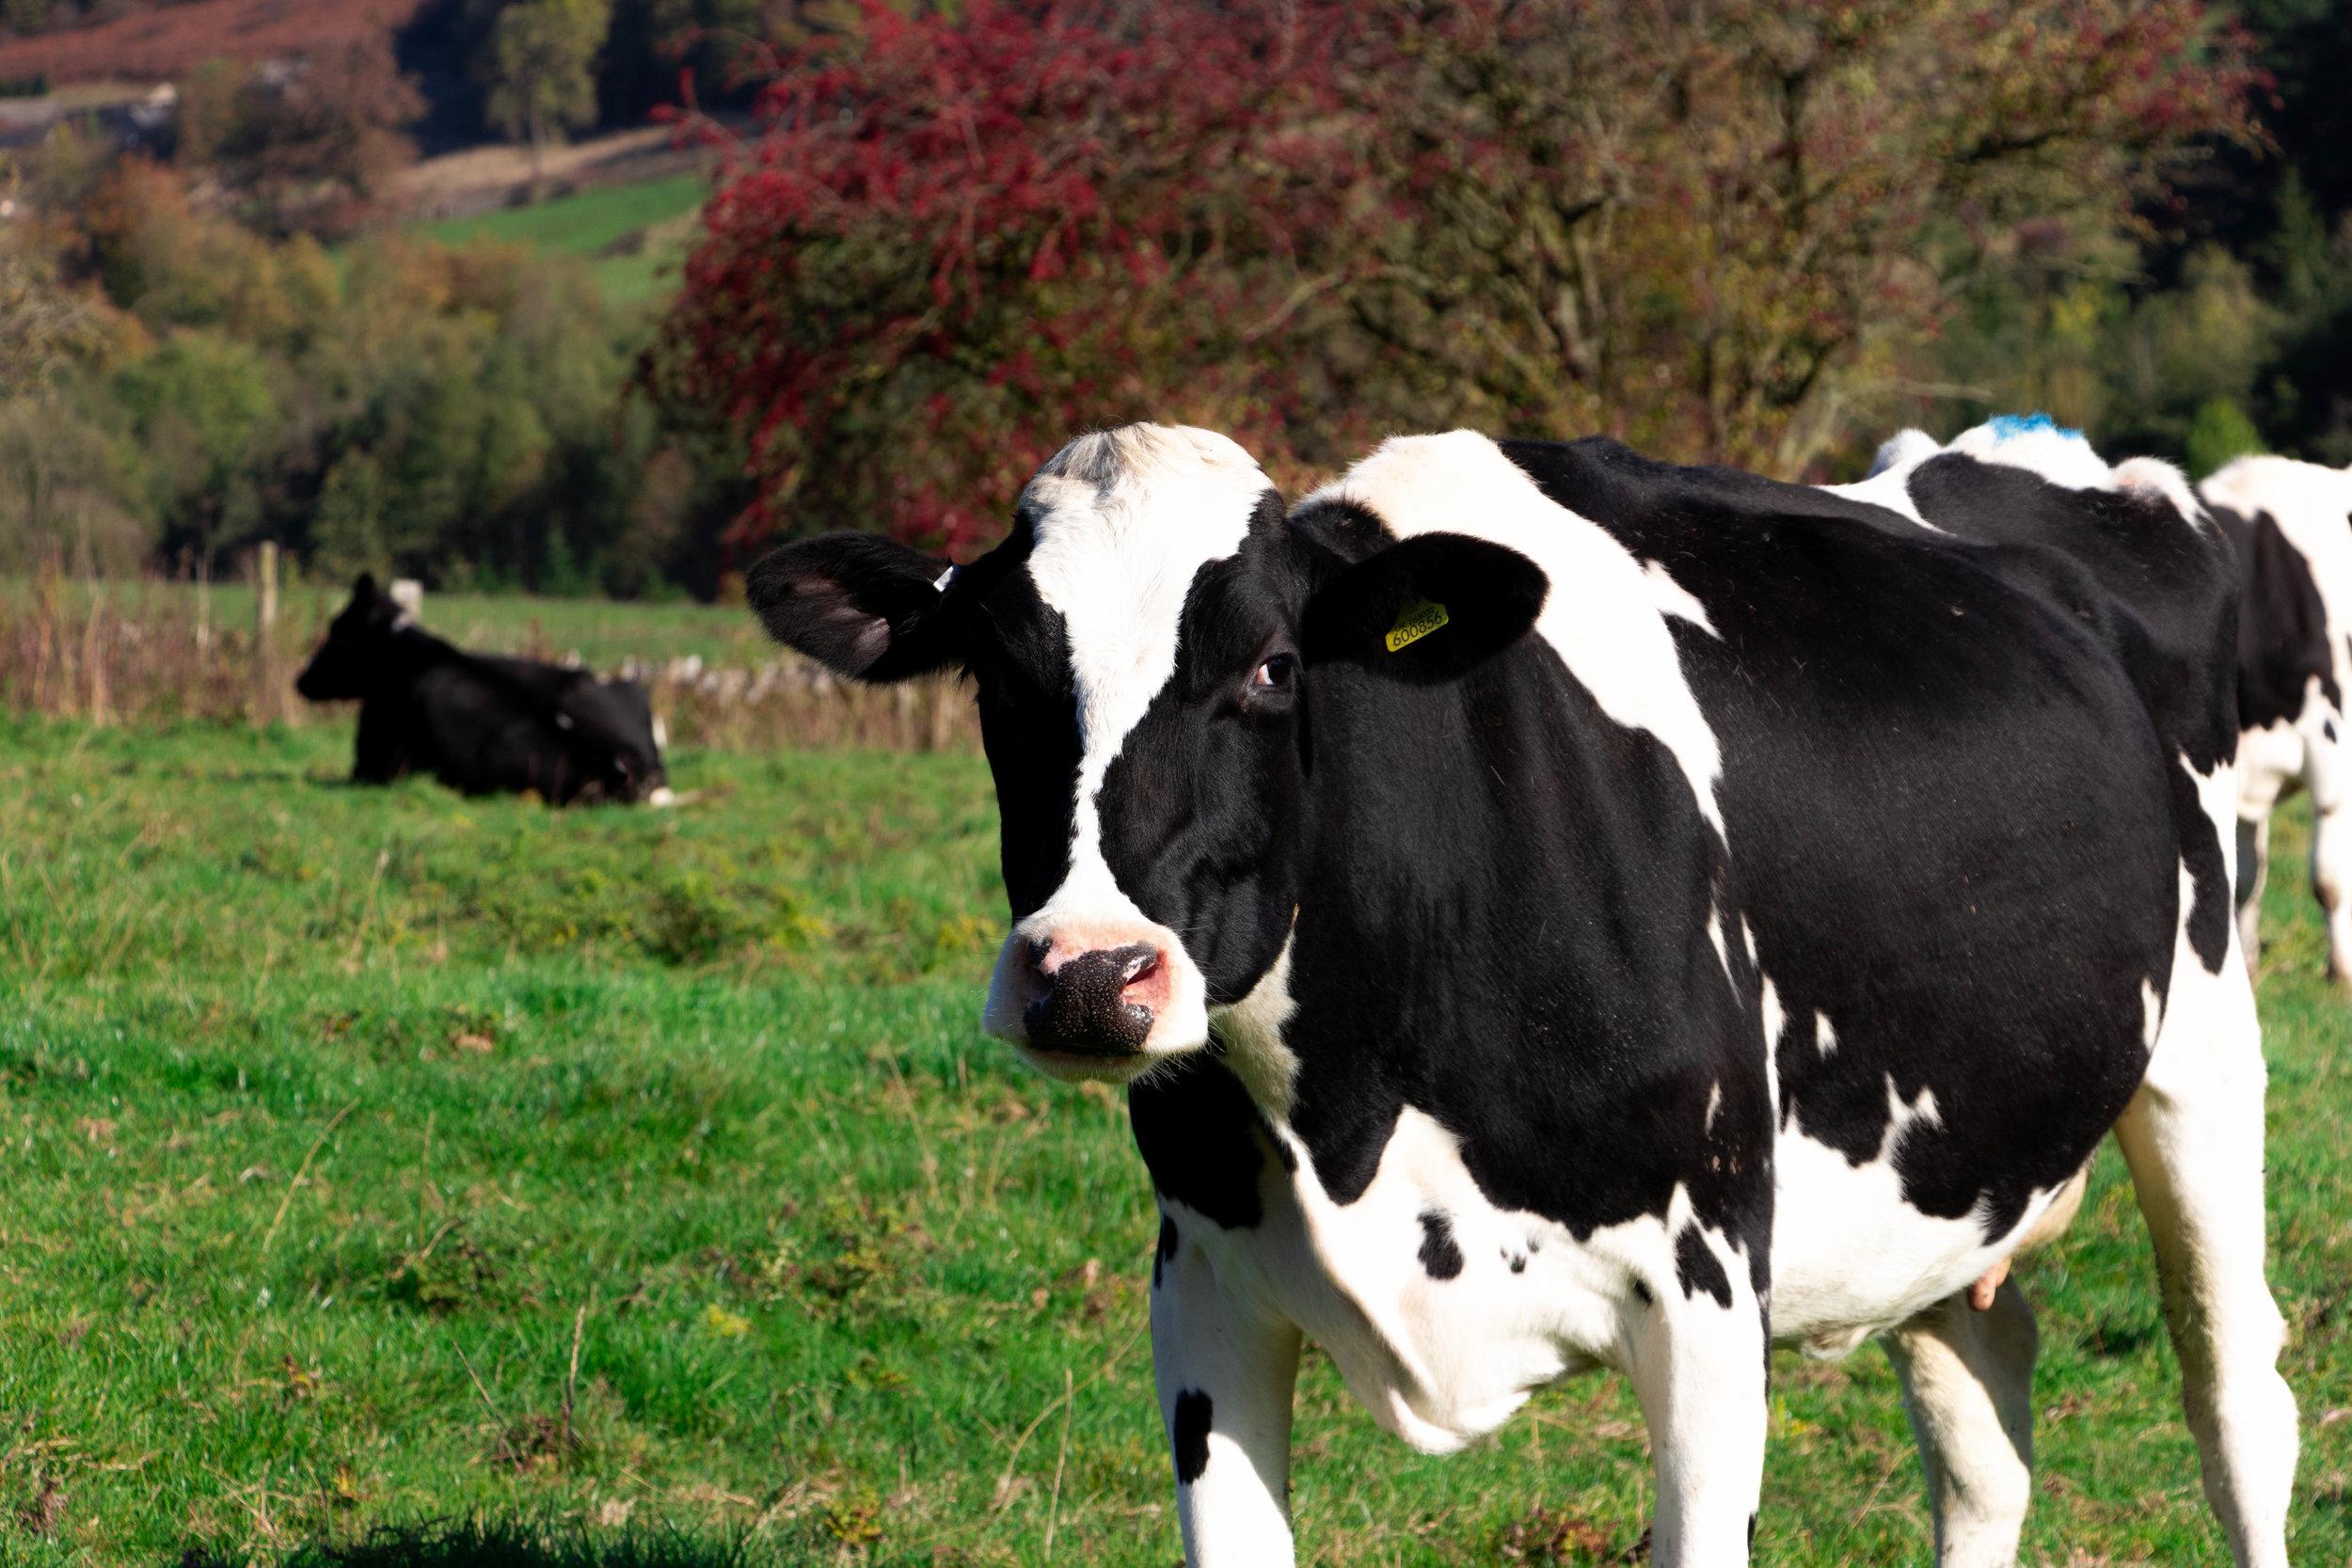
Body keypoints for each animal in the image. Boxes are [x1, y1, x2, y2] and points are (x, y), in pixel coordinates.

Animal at [746, 421, 2295, 1567]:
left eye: (1273, 664)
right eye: (993, 678)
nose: (1087, 973)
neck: (1356, 1104)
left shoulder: (1706, 1291)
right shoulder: (1204, 1291)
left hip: (2204, 1061)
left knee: (2237, 1403)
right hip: (1951, 1162)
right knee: (1983, 1436)